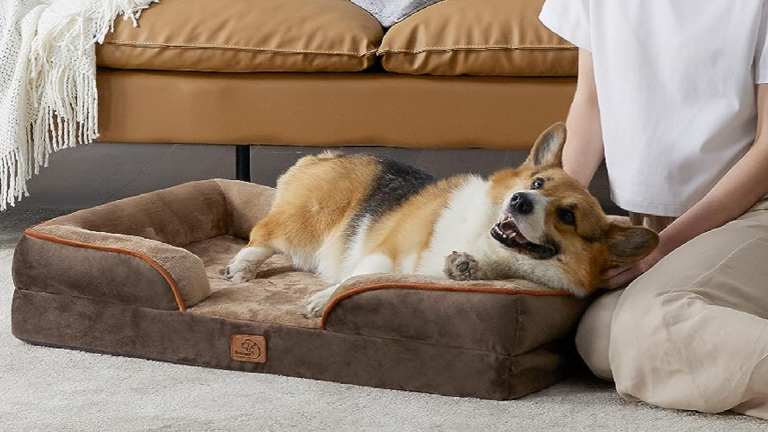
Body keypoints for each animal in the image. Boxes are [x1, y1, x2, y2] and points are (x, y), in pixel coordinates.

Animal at [225, 123, 659, 317]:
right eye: (537, 182)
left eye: (567, 215)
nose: (519, 200)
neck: (481, 239)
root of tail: (325, 155)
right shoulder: (384, 253)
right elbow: (356, 279)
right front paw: (322, 299)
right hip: (306, 223)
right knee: (262, 235)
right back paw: (241, 268)